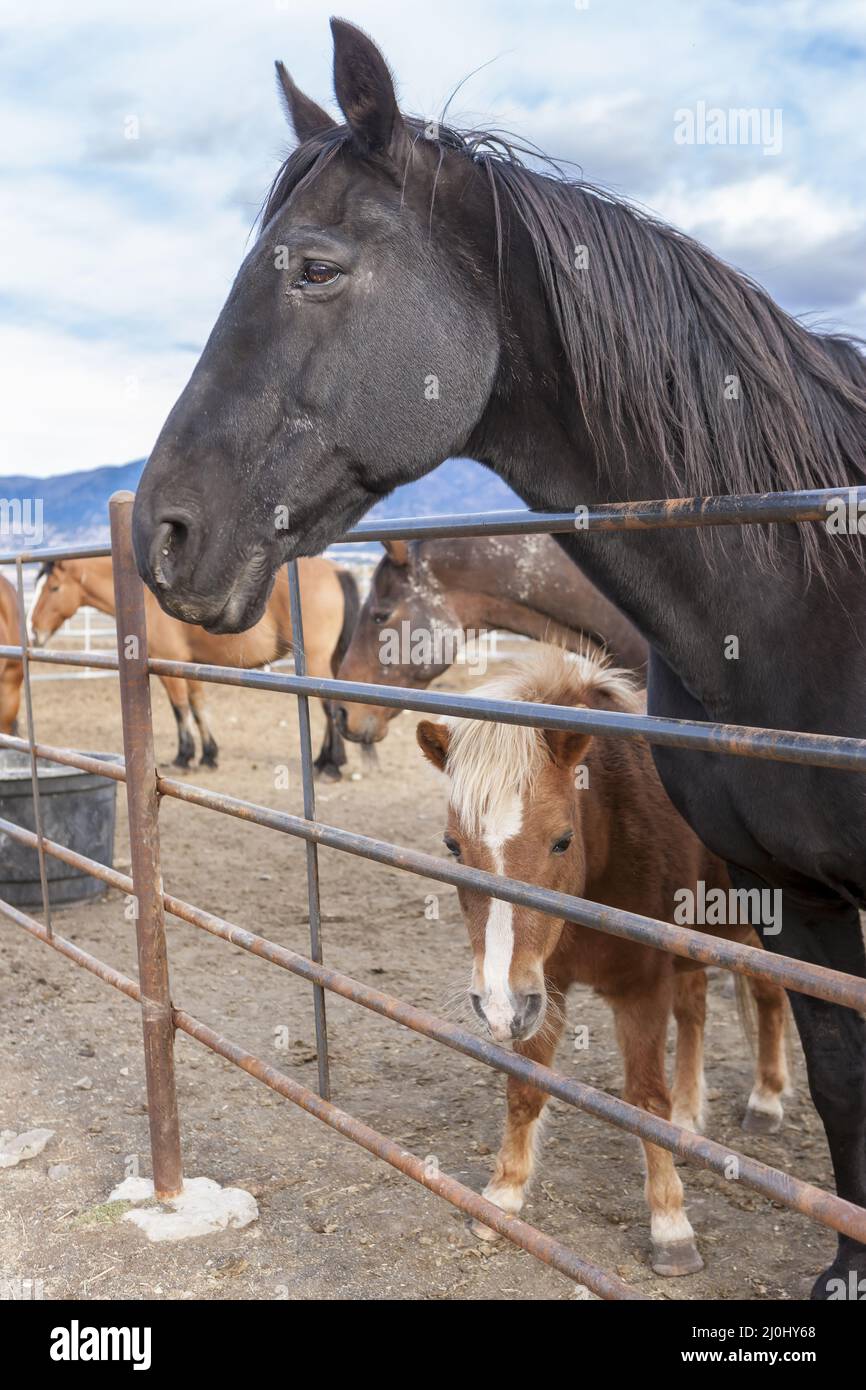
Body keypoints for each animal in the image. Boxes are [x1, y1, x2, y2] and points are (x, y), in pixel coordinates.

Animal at [28, 555, 359, 777]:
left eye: (54, 588)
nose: (34, 632)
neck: (146, 597)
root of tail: (337, 570)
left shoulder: (170, 666)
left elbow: (180, 709)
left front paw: (183, 757)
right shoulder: (191, 665)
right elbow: (199, 707)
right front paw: (209, 756)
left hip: (315, 661)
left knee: (329, 705)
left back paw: (330, 765)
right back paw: (325, 761)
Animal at [416, 644, 789, 1276]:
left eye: (562, 841)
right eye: (452, 846)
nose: (495, 1003)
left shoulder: (640, 988)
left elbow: (644, 1098)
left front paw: (670, 1227)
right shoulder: (543, 987)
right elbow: (526, 1087)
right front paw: (502, 1197)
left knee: (769, 996)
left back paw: (765, 1100)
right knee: (695, 1012)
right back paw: (691, 1116)